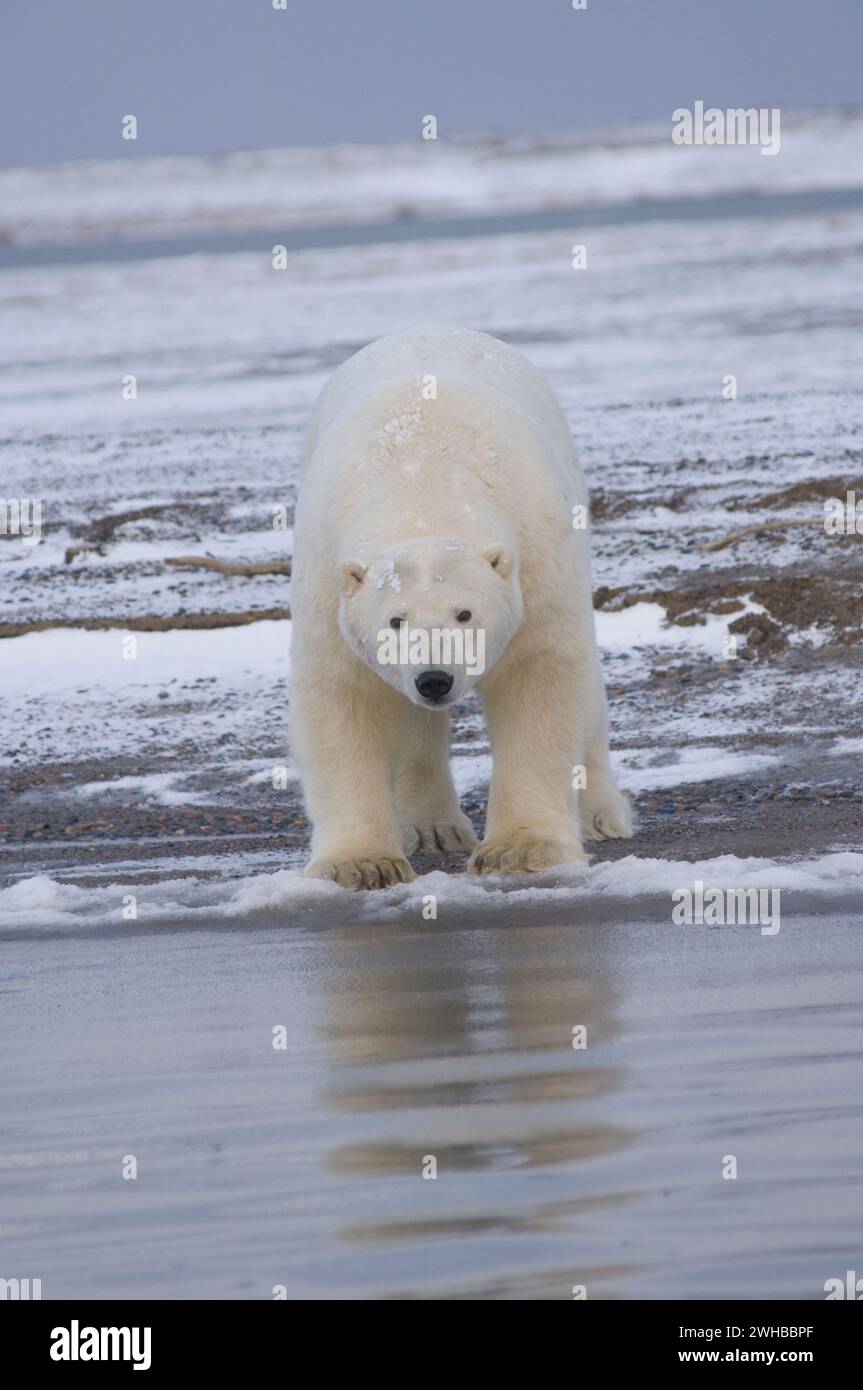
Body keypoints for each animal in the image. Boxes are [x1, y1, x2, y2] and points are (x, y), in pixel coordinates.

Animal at [290, 327, 633, 890]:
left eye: (465, 614)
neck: (422, 475)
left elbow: (542, 681)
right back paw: (431, 828)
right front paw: (362, 863)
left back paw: (603, 814)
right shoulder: (326, 579)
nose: (435, 678)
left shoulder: (536, 563)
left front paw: (520, 849)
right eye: (395, 620)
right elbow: (342, 699)